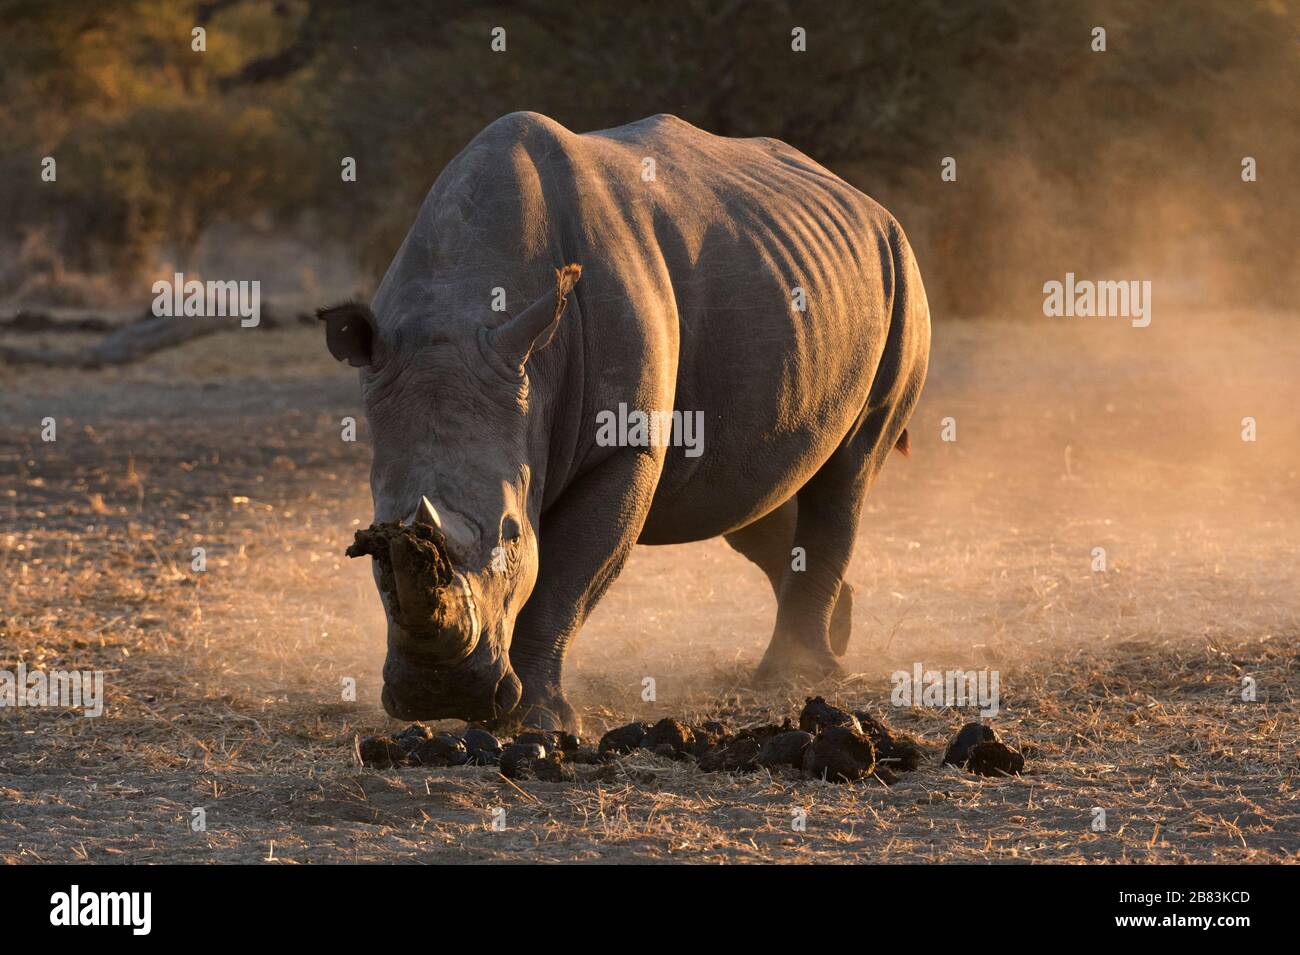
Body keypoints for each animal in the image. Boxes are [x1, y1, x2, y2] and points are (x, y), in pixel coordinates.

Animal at [319, 112, 929, 732]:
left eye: (512, 534)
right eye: (371, 542)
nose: (439, 695)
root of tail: (867, 203)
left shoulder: (621, 445)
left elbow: (564, 579)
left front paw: (540, 720)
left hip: (902, 276)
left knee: (848, 471)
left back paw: (793, 675)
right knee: (749, 496)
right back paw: (838, 628)